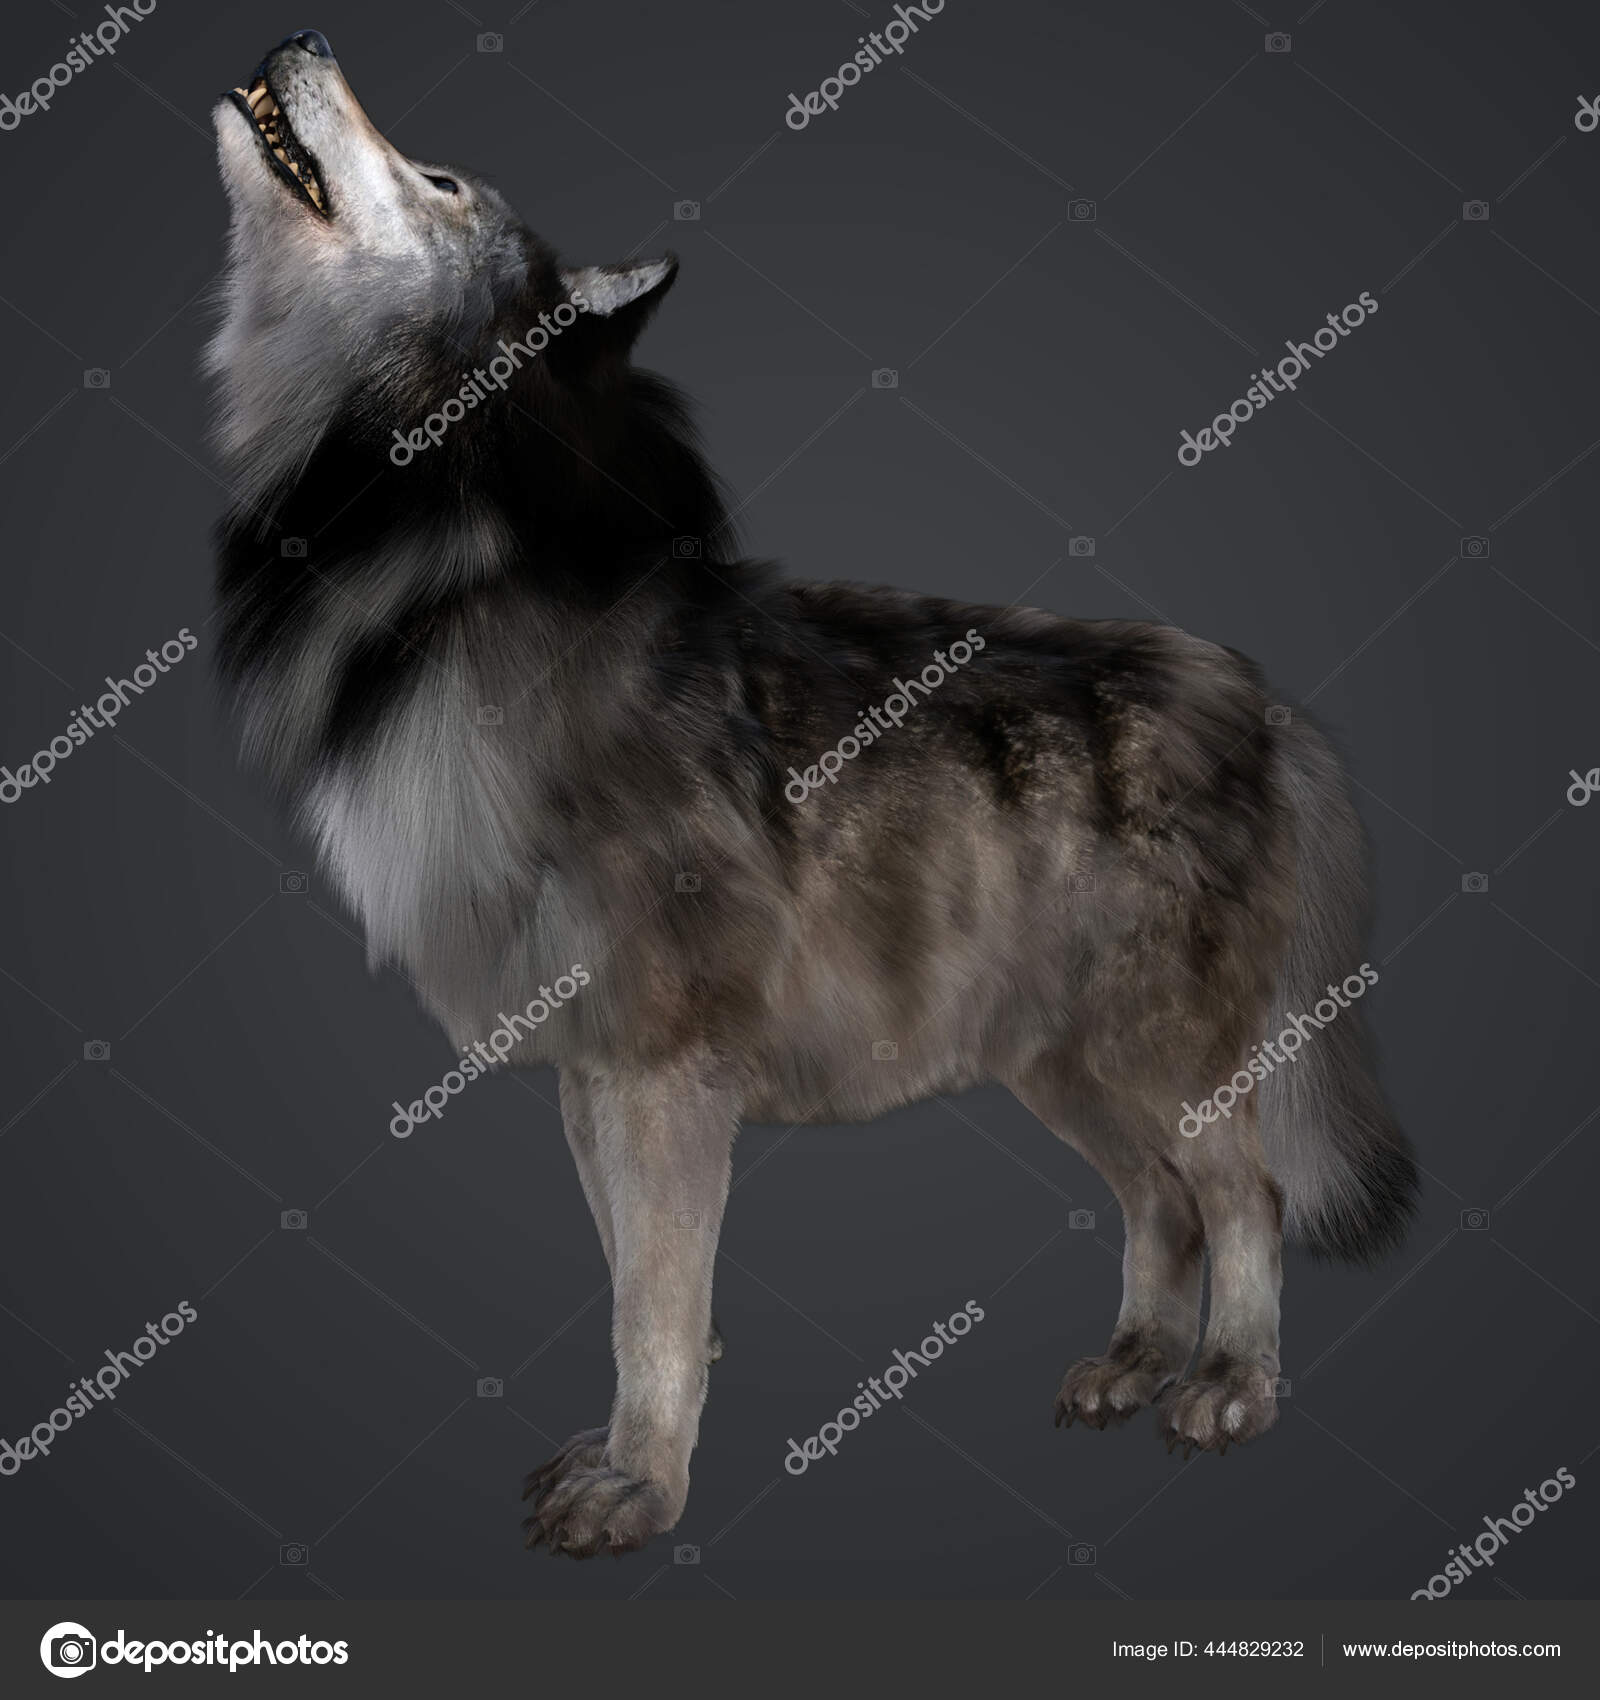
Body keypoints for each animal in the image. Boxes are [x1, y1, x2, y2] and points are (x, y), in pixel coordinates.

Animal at [208, 30, 1418, 1558]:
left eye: (436, 178)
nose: (296, 40)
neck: (455, 561)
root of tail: (1265, 699)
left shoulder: (660, 1069)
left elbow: (653, 1308)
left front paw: (639, 1490)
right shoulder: (590, 1076)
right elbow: (637, 1283)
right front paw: (632, 1457)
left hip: (1163, 1062)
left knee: (1246, 1199)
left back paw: (1226, 1390)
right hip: (1065, 1067)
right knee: (1163, 1206)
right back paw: (1130, 1367)